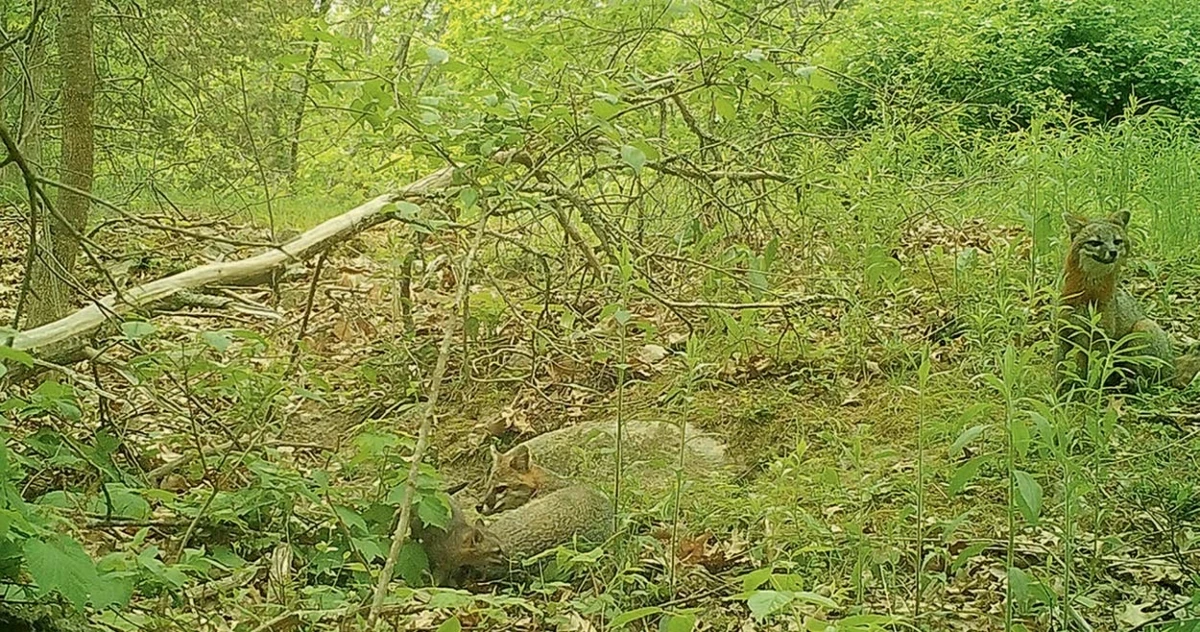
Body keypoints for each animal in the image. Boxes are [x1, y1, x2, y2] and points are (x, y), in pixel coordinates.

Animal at [1055, 211, 1197, 391]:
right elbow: (1059, 367)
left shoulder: (1101, 337)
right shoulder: (1063, 333)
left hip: (1141, 330)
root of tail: (1172, 364)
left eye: (1117, 241)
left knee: (1147, 381)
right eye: (1095, 242)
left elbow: (1095, 372)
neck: (1087, 293)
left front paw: (1090, 393)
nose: (1113, 252)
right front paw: (1059, 391)